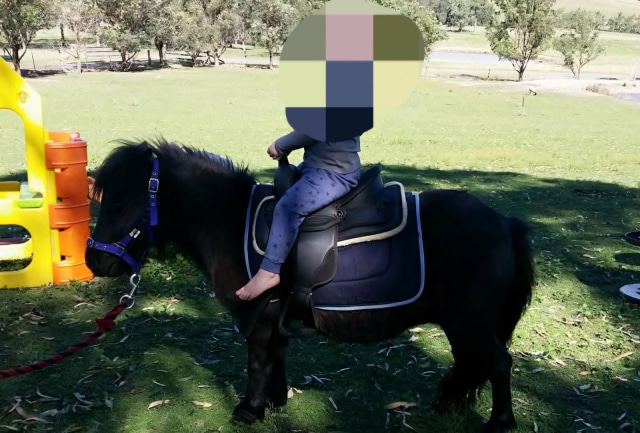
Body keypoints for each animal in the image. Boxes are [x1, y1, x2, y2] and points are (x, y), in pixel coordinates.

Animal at [84, 138, 535, 433]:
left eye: (120, 204)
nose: (93, 260)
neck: (230, 222)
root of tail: (505, 222)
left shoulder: (259, 313)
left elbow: (258, 360)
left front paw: (249, 409)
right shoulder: (275, 317)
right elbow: (276, 356)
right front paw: (276, 399)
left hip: (469, 322)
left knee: (498, 363)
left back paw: (500, 422)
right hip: (463, 324)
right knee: (471, 362)